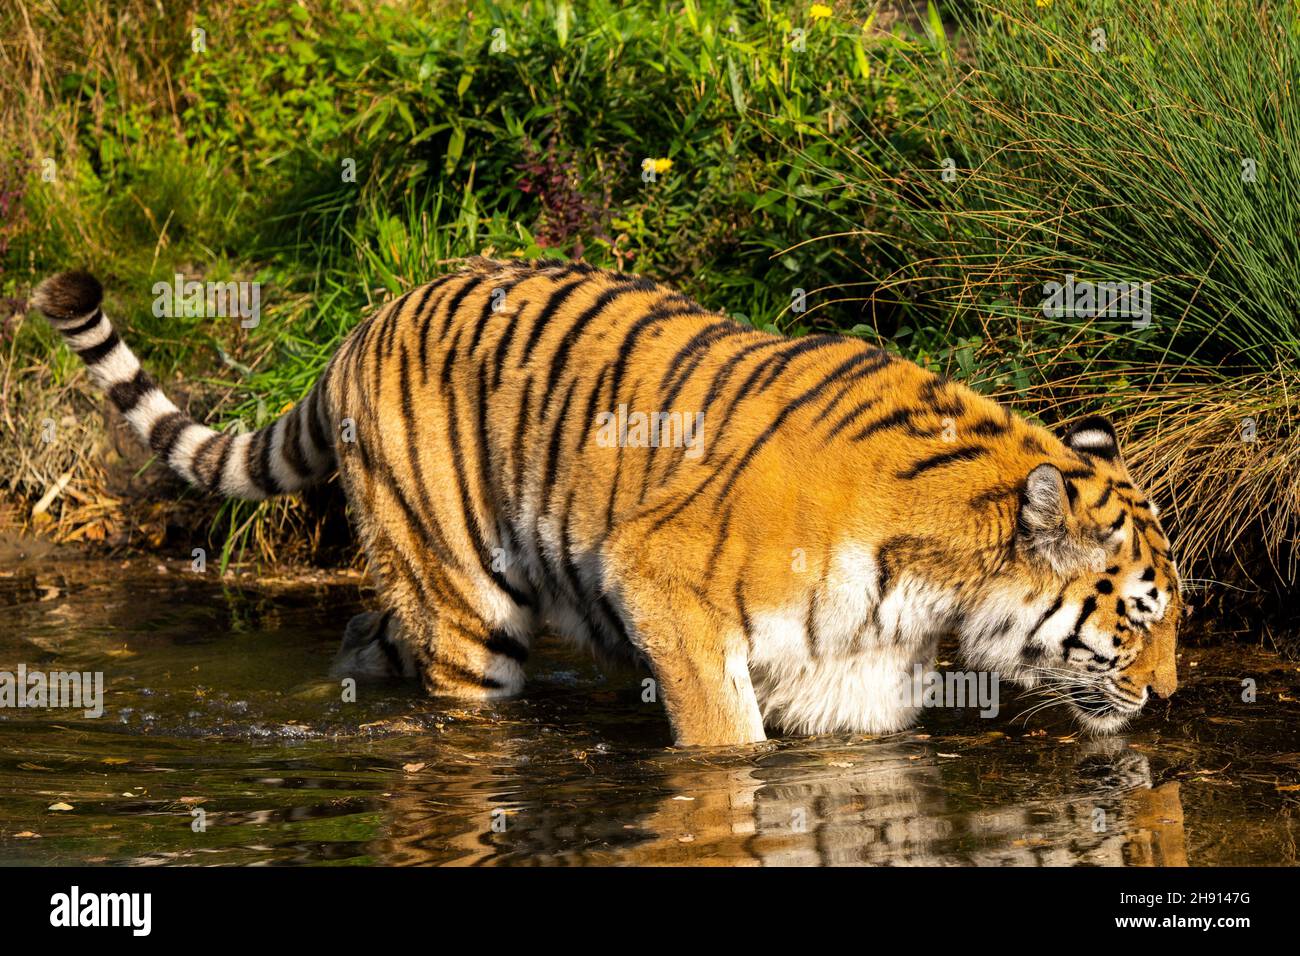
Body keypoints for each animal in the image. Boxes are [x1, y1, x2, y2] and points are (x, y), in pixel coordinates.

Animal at [31, 258, 1181, 747]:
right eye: (1137, 617)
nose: (1168, 695)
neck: (935, 585)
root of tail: (366, 318)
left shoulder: (854, 680)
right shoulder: (665, 586)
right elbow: (727, 744)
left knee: (366, 629)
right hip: (469, 603)